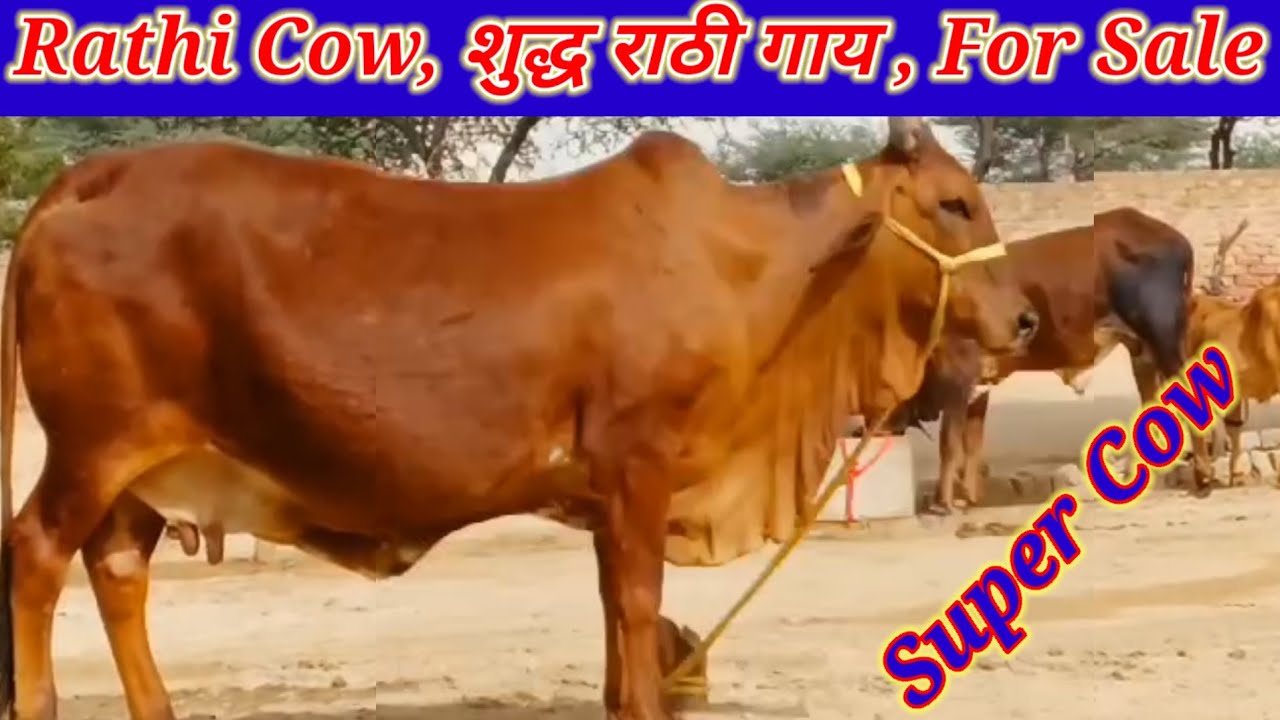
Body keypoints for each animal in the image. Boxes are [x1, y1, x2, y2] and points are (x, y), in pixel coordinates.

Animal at [0, 116, 1036, 720]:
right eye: (954, 203)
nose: (1024, 317)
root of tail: (93, 176)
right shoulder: (638, 463)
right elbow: (638, 604)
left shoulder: (607, 492)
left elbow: (617, 616)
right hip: (94, 446)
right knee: (40, 554)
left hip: (143, 468)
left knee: (118, 572)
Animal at [879, 208, 1194, 513]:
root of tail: (1177, 239)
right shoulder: (979, 382)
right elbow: (971, 443)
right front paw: (967, 497)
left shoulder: (958, 378)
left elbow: (950, 443)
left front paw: (942, 503)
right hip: (1142, 353)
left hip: (1165, 342)